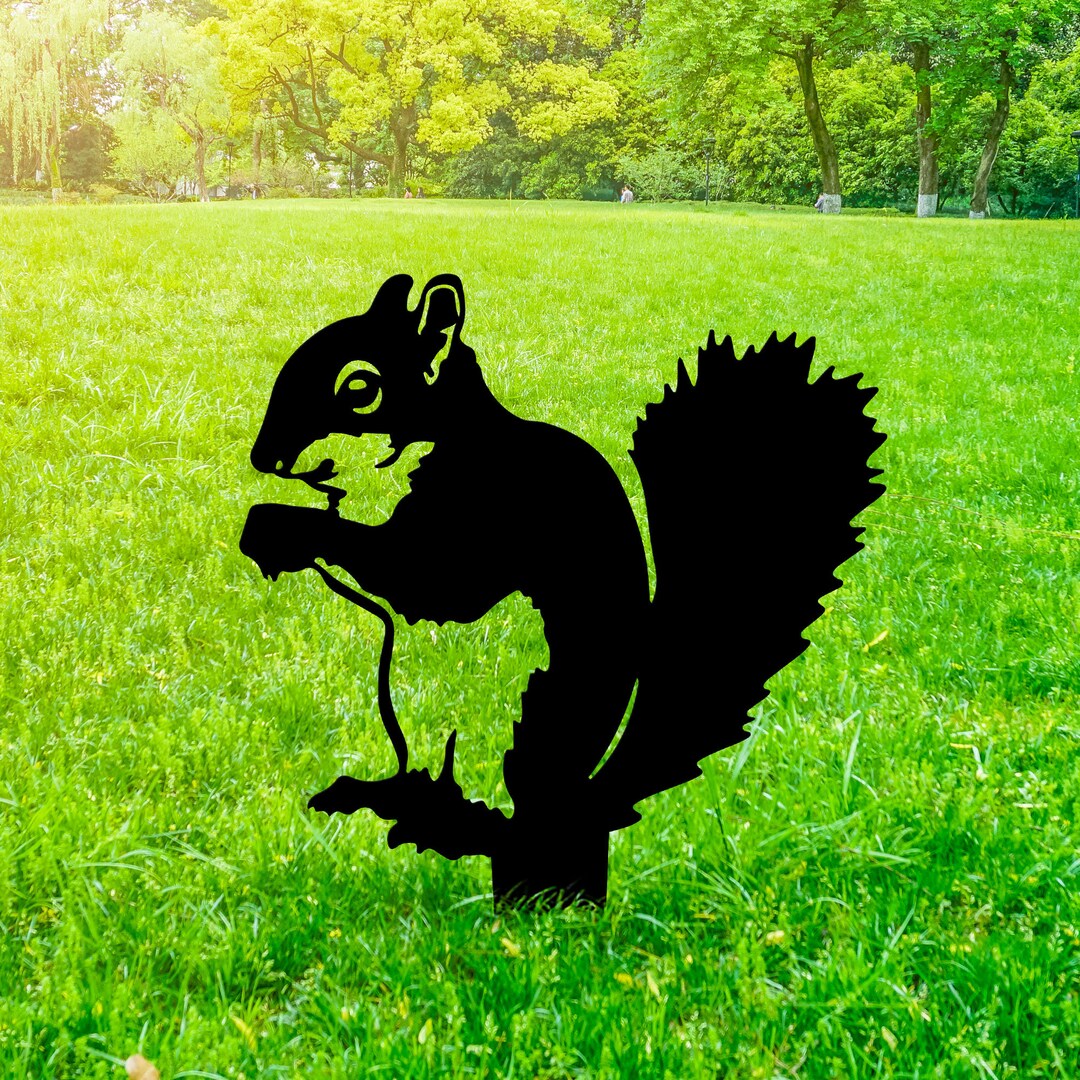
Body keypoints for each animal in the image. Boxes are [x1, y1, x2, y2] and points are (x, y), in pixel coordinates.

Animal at [239, 273, 885, 904]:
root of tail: (578, 811)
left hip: (514, 726)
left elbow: (420, 580)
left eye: (360, 388)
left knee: (492, 814)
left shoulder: (488, 517)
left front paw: (280, 529)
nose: (264, 458)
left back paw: (443, 823)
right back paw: (369, 796)